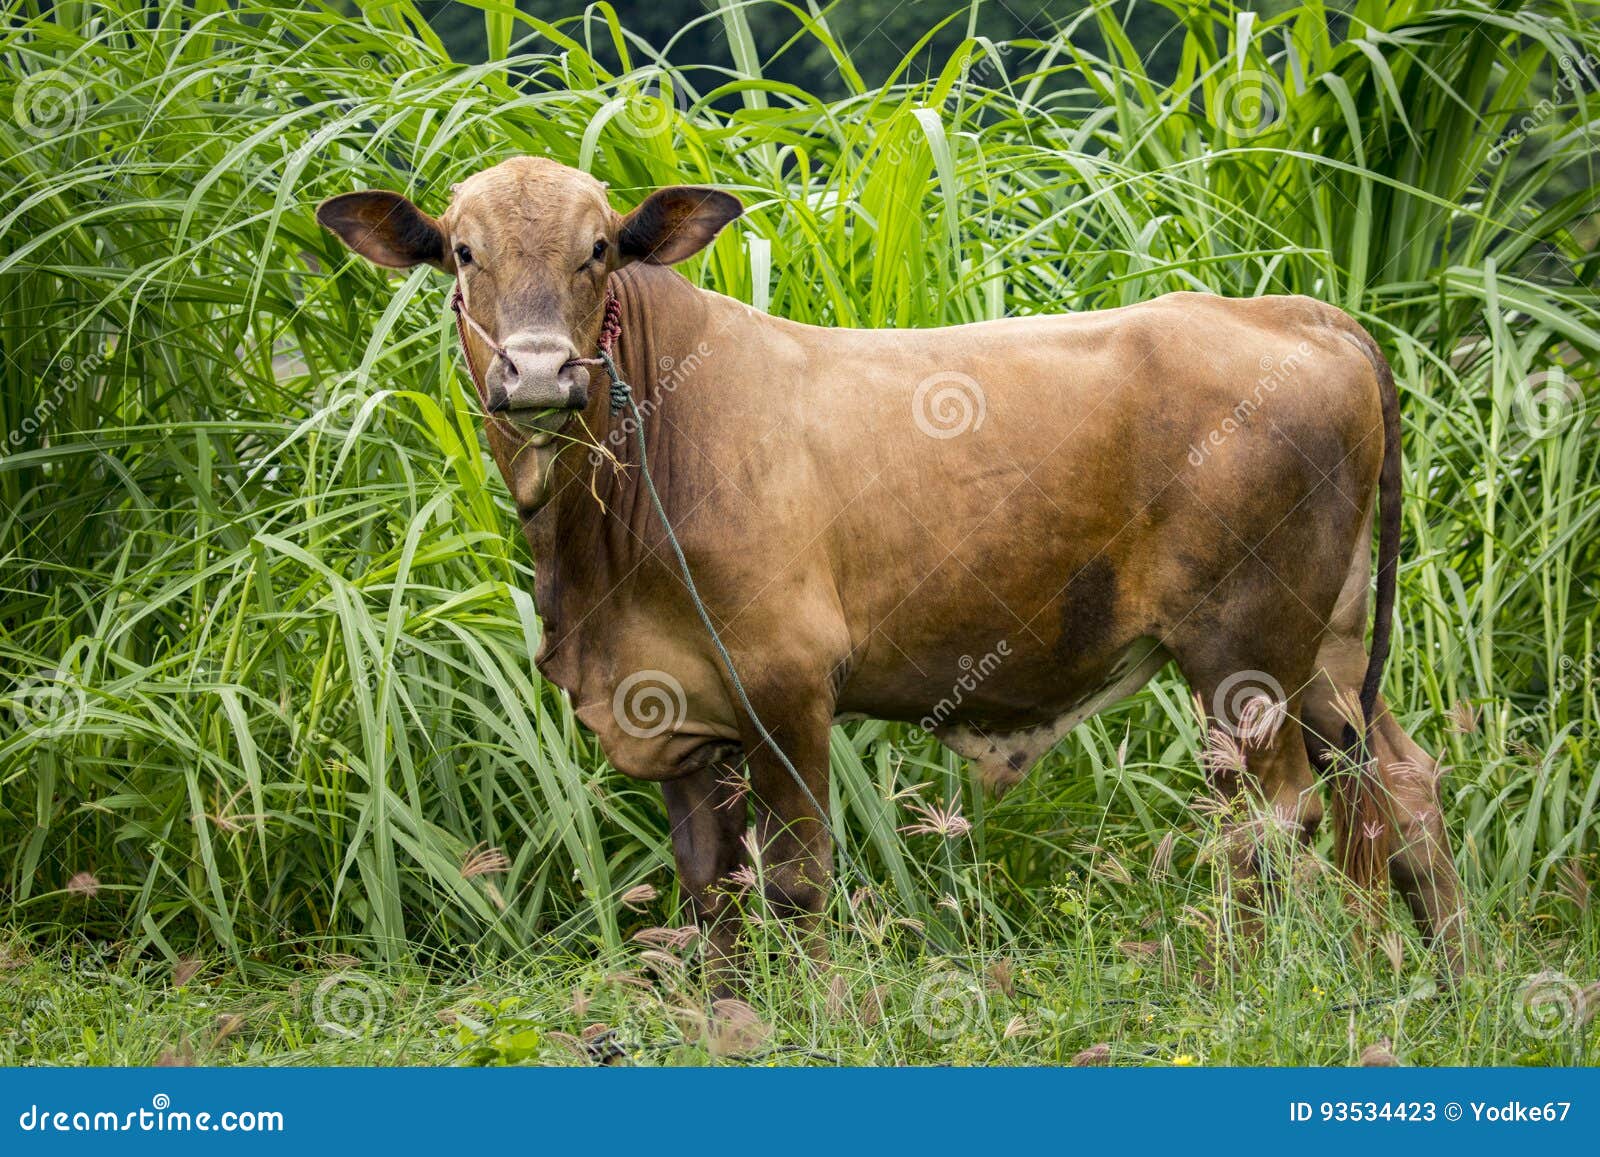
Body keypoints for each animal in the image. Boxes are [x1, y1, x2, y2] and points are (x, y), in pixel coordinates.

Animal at [317, 156, 1467, 980]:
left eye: (599, 246)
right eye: (463, 252)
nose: (541, 372)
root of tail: (1293, 309)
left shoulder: (786, 684)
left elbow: (794, 880)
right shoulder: (674, 705)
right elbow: (709, 894)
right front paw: (730, 1021)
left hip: (1242, 647)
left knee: (1274, 820)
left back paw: (1249, 989)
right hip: (1332, 646)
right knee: (1397, 787)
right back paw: (1439, 985)